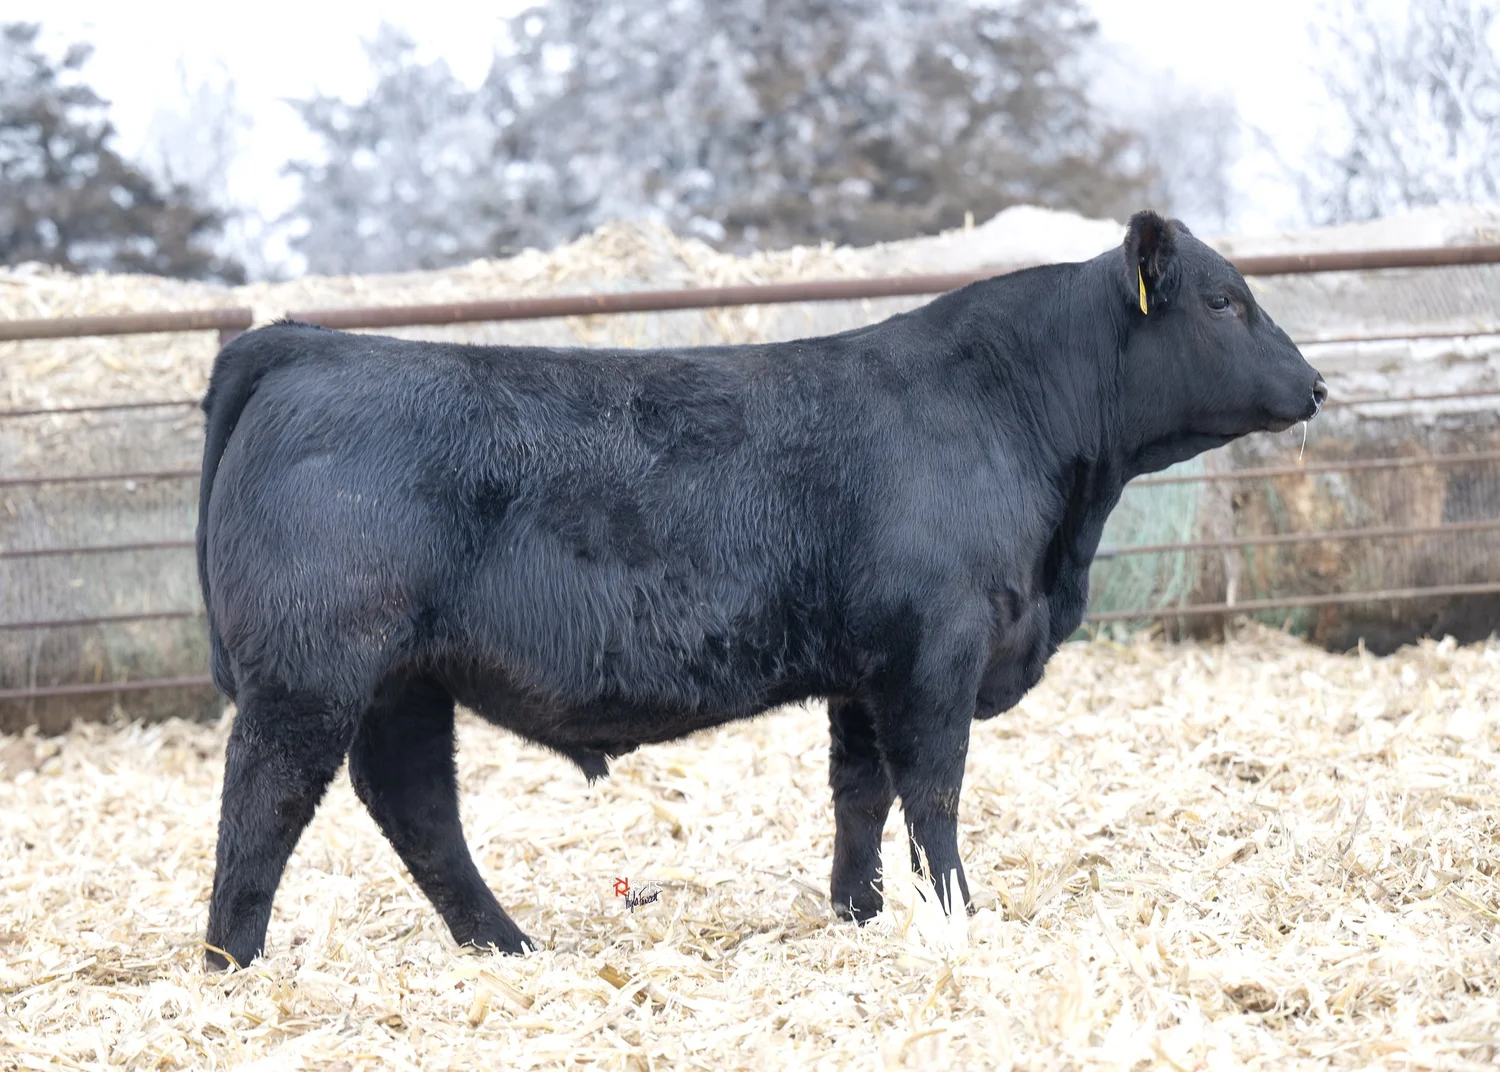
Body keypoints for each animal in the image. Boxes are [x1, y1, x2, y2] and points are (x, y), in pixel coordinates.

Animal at [196, 211, 1325, 970]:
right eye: (1223, 299)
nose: (1316, 385)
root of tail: (306, 344)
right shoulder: (937, 649)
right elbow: (935, 790)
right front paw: (956, 913)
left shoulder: (866, 669)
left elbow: (861, 793)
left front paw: (860, 911)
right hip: (313, 667)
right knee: (268, 797)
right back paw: (232, 962)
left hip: (405, 679)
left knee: (415, 805)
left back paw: (504, 944)